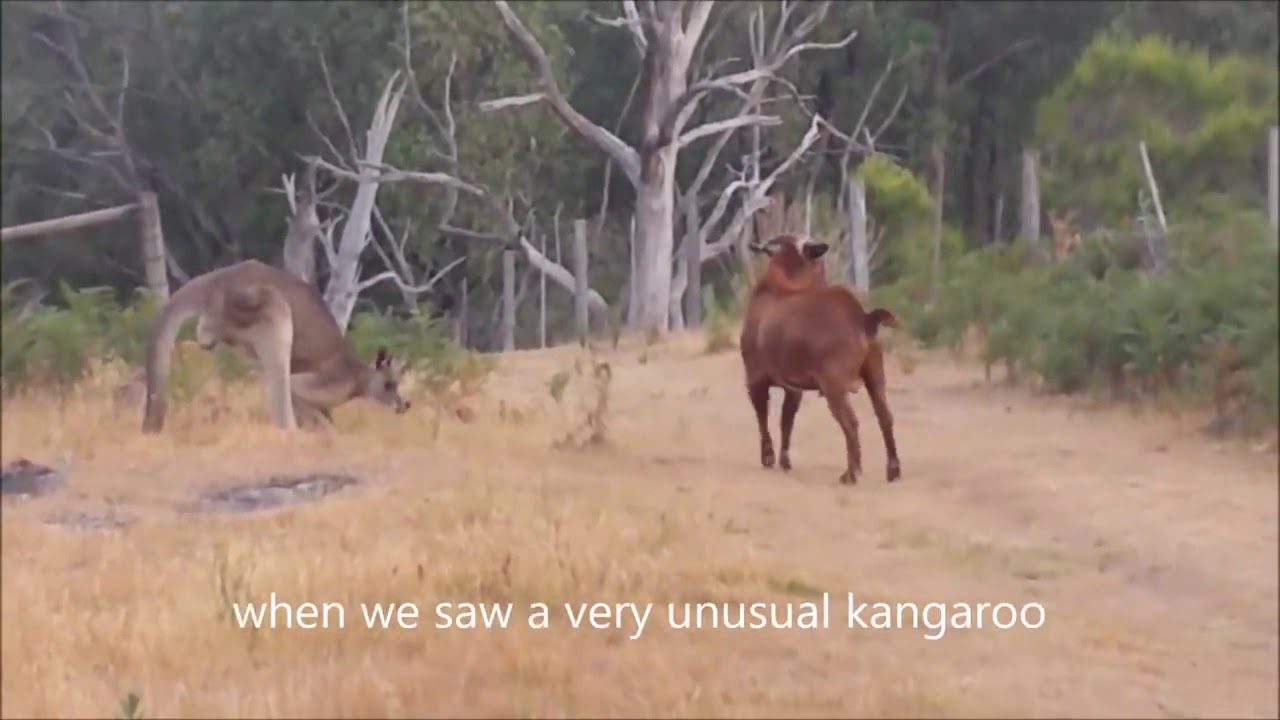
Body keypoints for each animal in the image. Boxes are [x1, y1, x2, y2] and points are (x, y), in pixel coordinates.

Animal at [738, 234, 901, 485]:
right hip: (875, 375)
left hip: (834, 386)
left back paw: (851, 473)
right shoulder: (793, 388)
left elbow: (763, 416)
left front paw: (768, 457)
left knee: (851, 422)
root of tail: (862, 319)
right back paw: (893, 470)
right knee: (885, 416)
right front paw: (785, 461)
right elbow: (786, 421)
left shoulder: (755, 378)